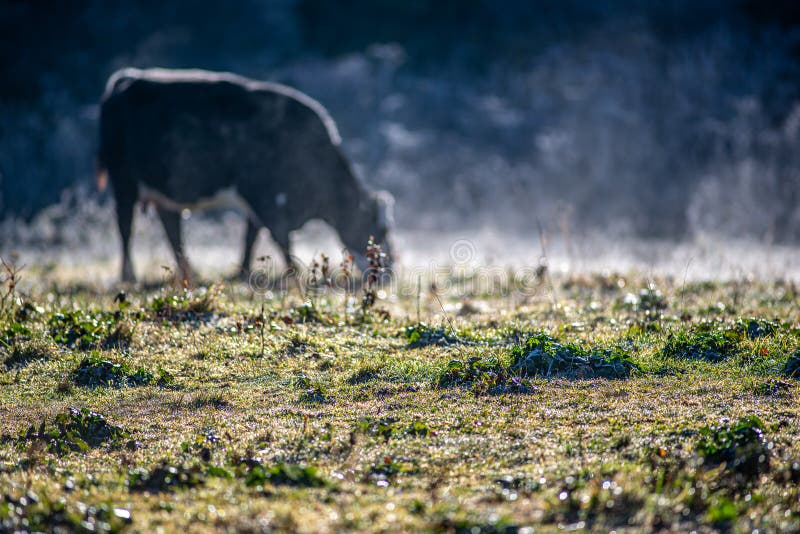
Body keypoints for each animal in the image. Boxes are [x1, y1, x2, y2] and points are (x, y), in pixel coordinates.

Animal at [97, 67, 394, 283]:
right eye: (380, 229)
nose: (388, 272)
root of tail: (129, 78)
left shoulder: (260, 203)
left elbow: (251, 236)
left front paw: (241, 272)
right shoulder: (264, 198)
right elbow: (279, 236)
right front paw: (294, 272)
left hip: (164, 191)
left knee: (172, 229)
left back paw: (189, 273)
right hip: (123, 180)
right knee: (125, 226)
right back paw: (129, 276)